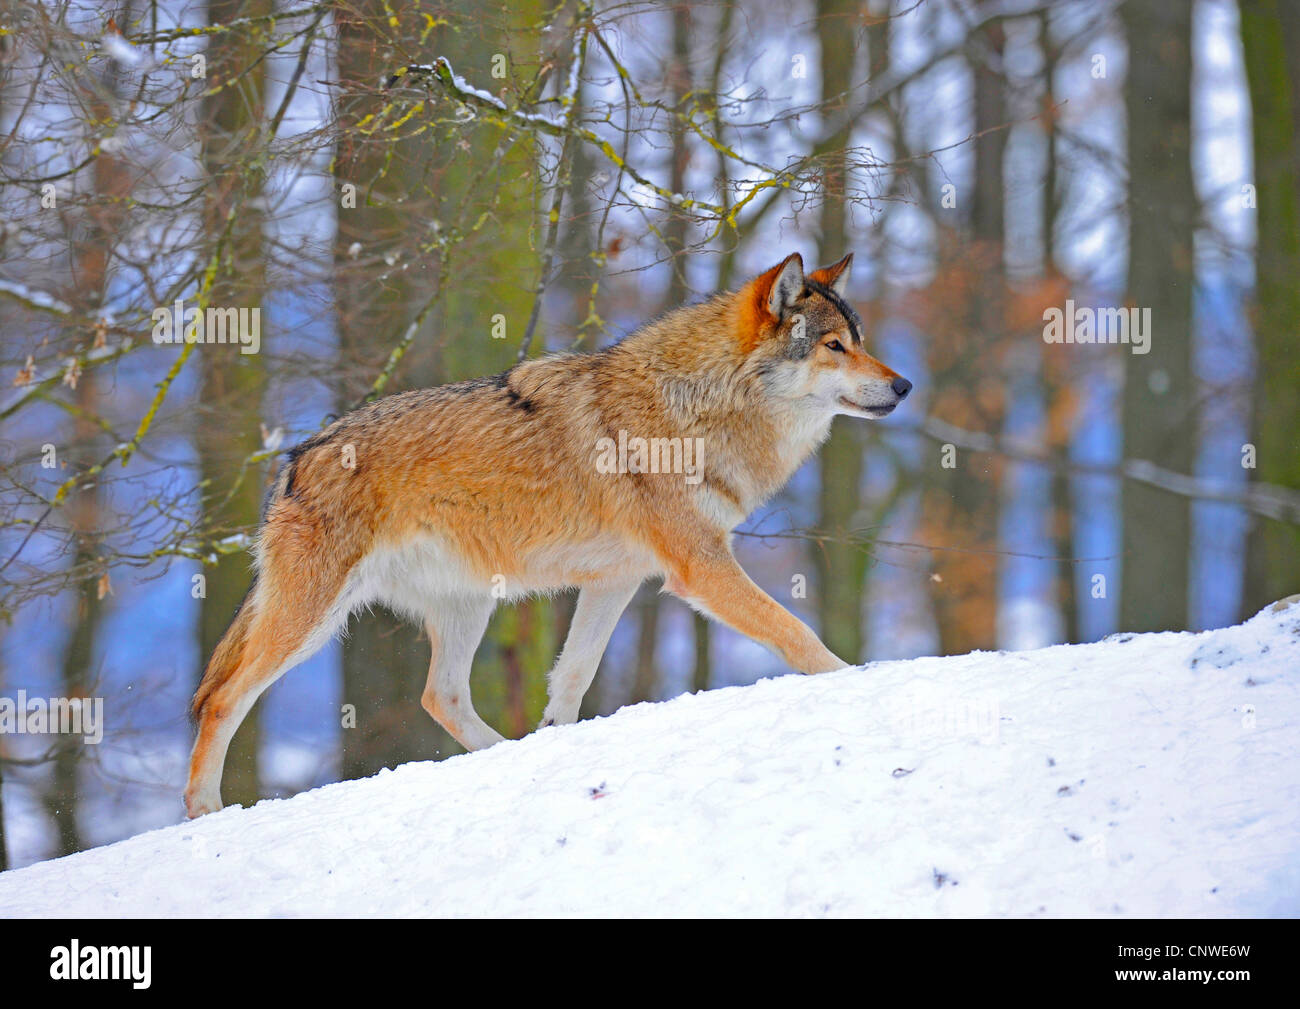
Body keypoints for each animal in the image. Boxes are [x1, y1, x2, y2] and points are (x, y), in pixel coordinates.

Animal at [185, 252, 912, 817]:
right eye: (835, 347)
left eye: (861, 338)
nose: (905, 384)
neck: (698, 406)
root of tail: (294, 458)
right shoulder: (700, 565)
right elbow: (798, 633)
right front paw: (853, 681)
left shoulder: (618, 579)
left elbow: (572, 675)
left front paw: (555, 740)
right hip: (312, 619)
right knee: (222, 696)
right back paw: (203, 810)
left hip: (466, 606)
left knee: (439, 695)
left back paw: (508, 753)